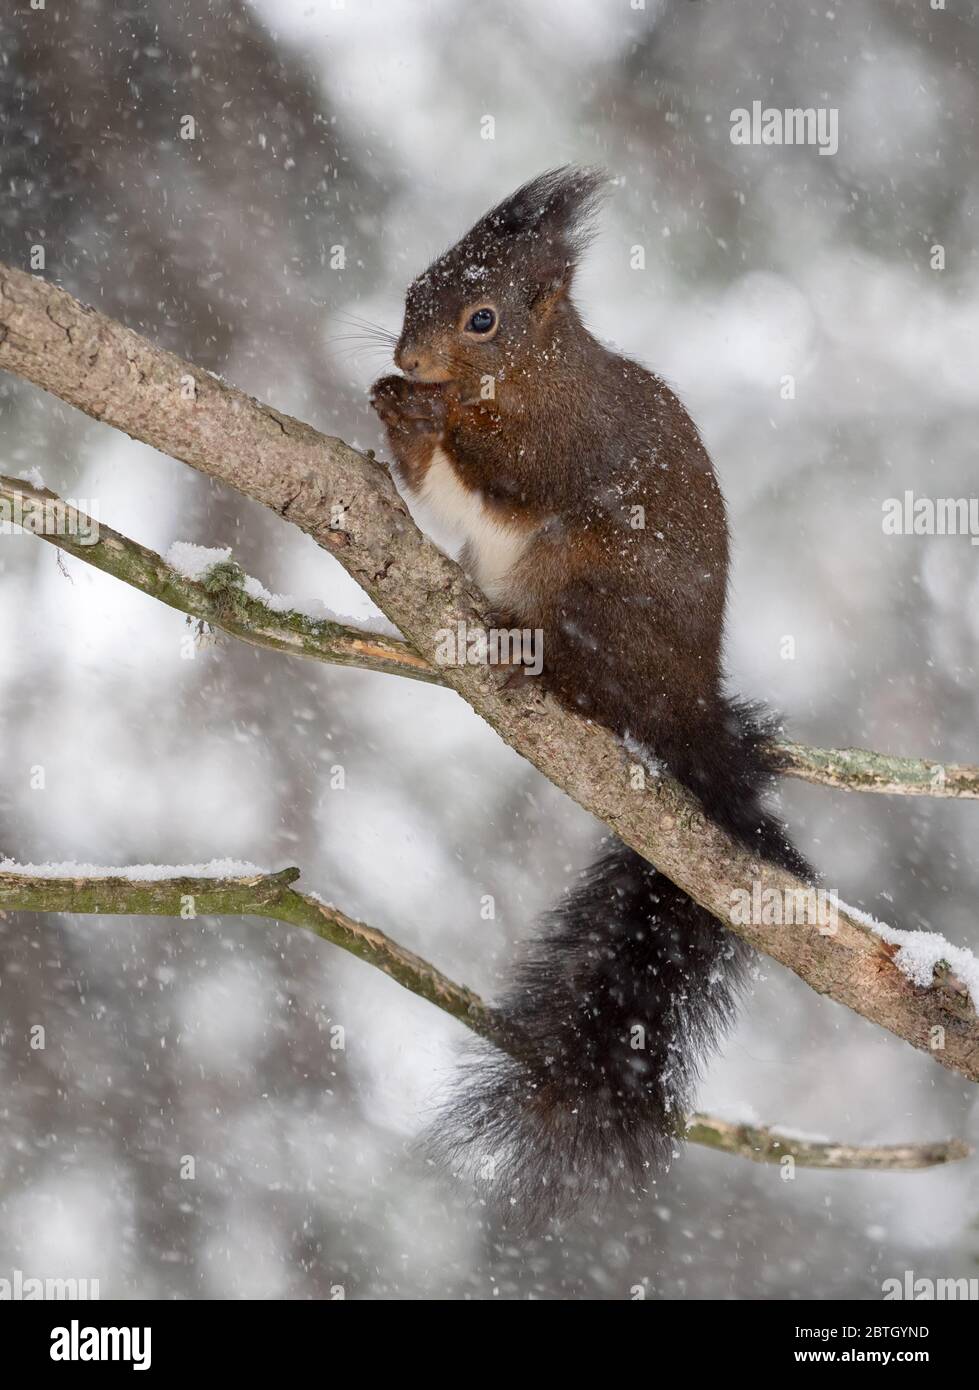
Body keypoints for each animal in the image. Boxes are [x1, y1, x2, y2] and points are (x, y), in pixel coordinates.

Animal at [370, 168, 812, 1223]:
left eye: (482, 318)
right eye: (414, 287)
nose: (406, 357)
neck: (522, 377)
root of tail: (688, 709)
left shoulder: (565, 446)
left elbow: (509, 479)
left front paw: (426, 419)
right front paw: (390, 406)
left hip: (586, 596)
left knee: (592, 690)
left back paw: (528, 660)